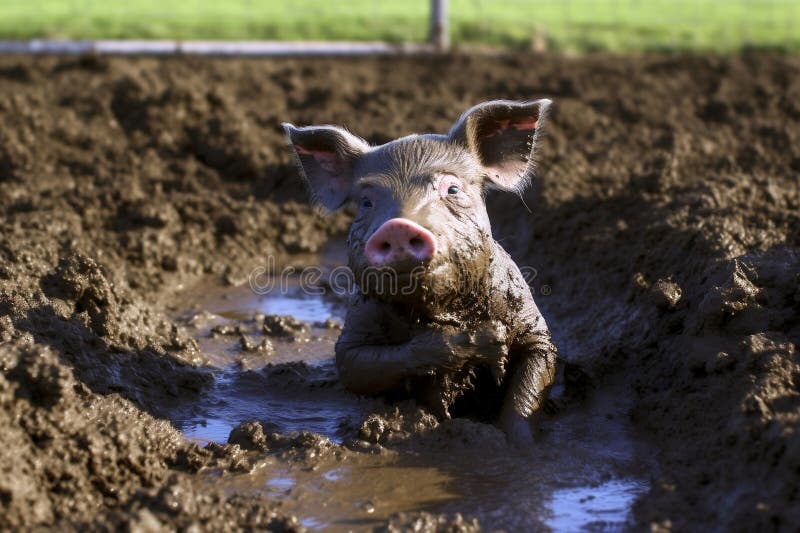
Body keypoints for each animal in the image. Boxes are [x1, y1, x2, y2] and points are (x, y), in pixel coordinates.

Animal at [283, 99, 557, 444]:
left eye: (452, 189)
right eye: (366, 202)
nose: (399, 226)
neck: (444, 309)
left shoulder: (534, 327)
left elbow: (532, 381)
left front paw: (518, 444)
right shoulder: (354, 332)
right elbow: (356, 366)